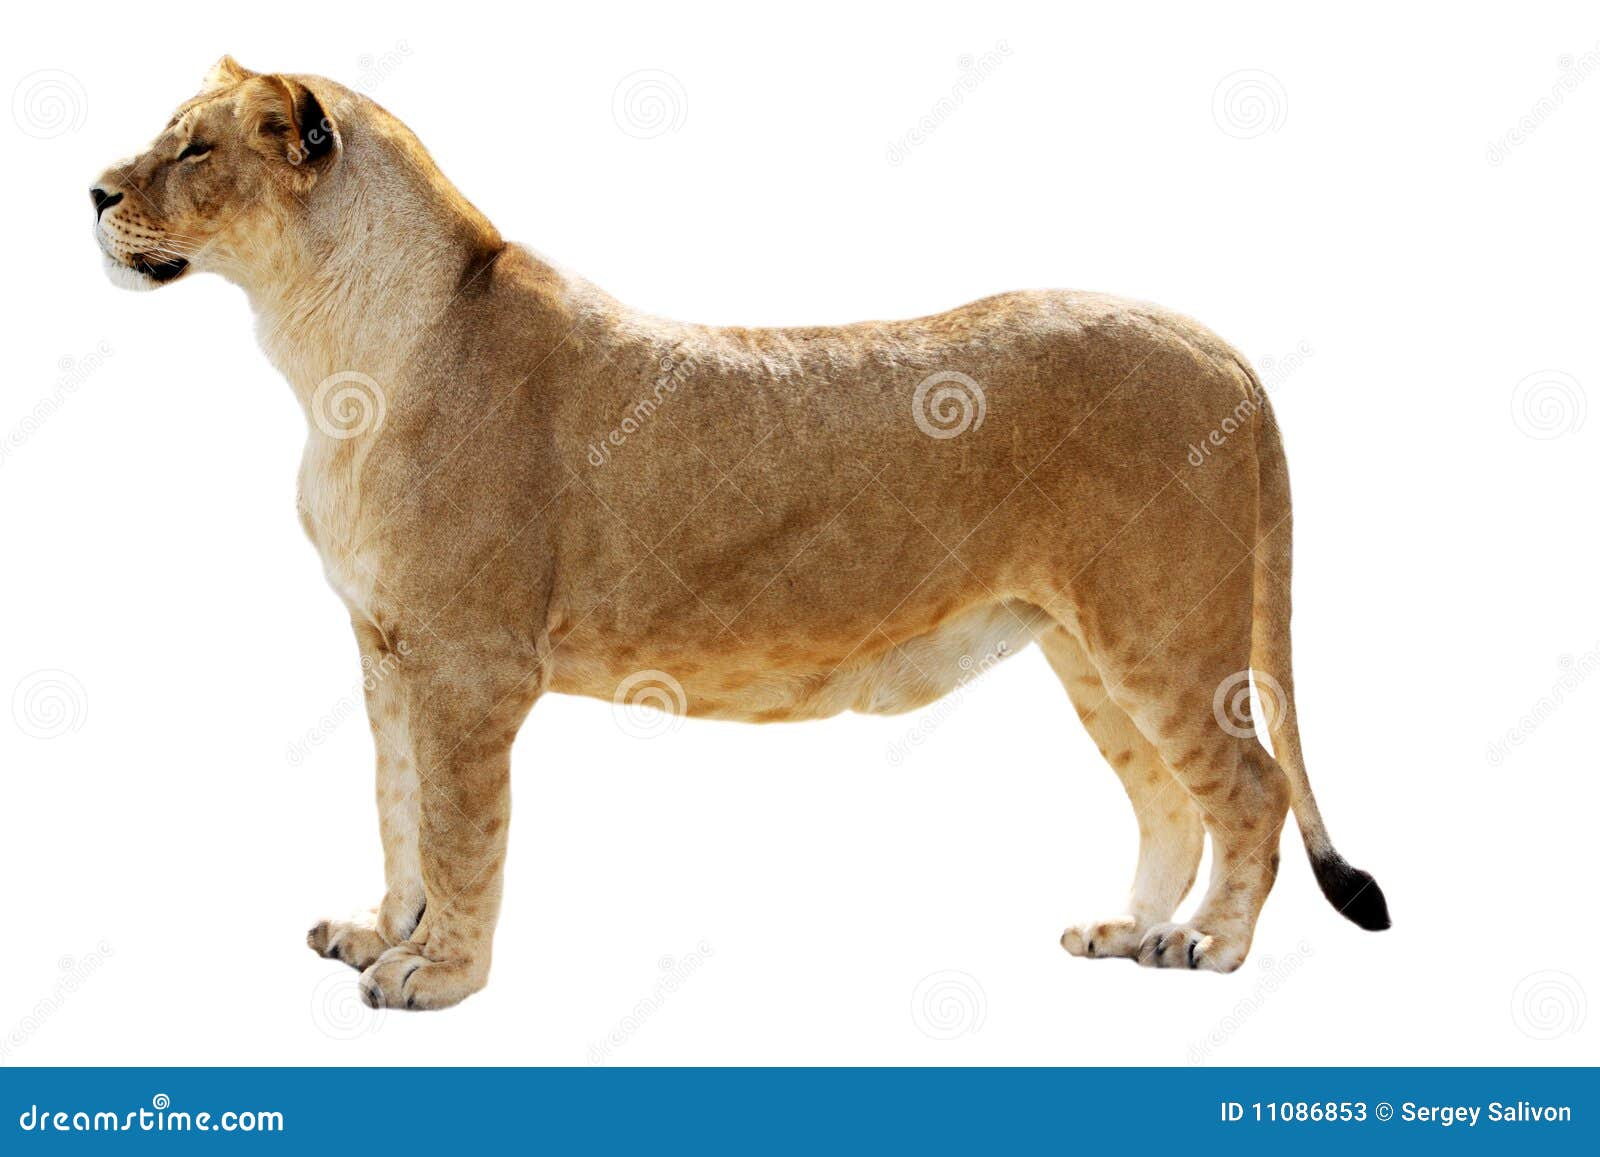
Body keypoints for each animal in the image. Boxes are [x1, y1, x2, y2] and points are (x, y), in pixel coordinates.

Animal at [90, 57, 1388, 1009]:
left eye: (194, 147)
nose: (93, 194)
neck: (329, 353)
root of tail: (1214, 341)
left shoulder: (470, 660)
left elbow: (460, 826)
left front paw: (437, 974)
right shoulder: (385, 646)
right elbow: (395, 800)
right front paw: (378, 930)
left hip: (1161, 626)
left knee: (1250, 786)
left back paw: (1208, 947)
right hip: (1084, 641)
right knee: (1165, 794)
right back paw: (1129, 929)